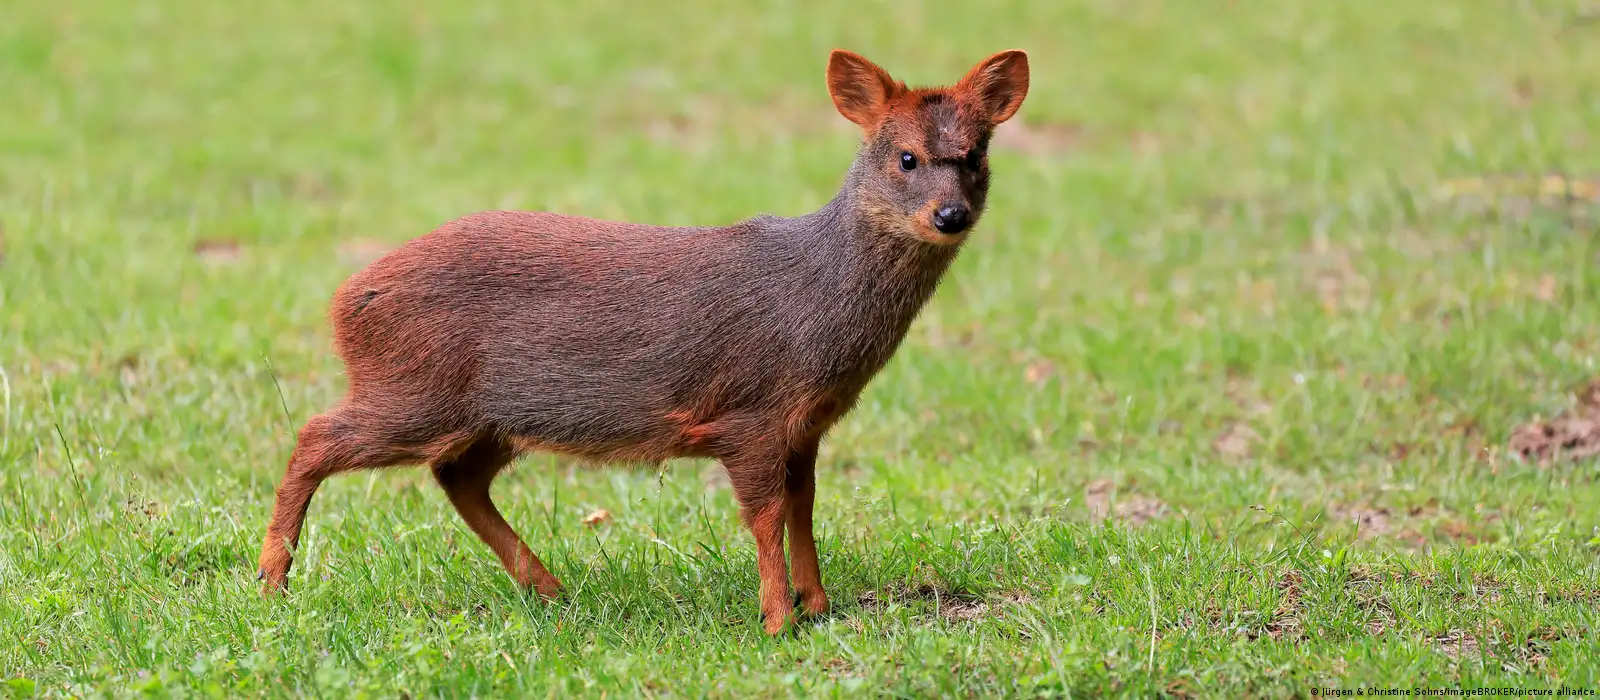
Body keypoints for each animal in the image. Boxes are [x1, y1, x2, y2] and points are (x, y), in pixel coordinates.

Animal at [255, 48, 1029, 635]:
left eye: (975, 155)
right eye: (906, 157)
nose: (951, 215)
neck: (814, 303)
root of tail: (344, 301)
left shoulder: (805, 425)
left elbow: (805, 506)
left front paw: (817, 604)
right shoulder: (750, 411)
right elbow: (765, 515)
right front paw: (777, 621)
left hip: (489, 415)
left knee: (455, 476)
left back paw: (550, 588)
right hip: (414, 387)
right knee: (316, 436)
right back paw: (271, 580)